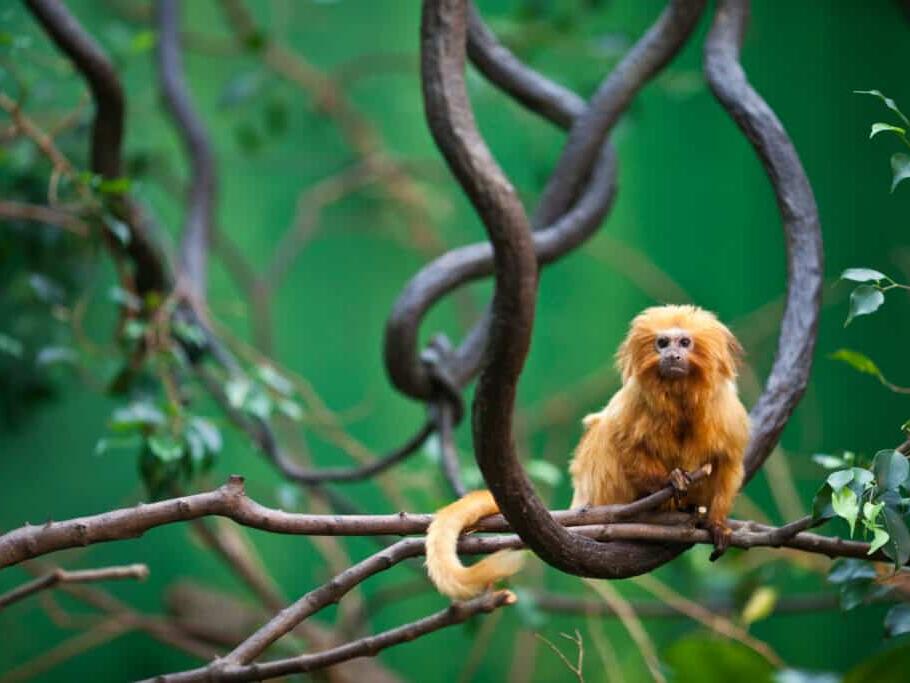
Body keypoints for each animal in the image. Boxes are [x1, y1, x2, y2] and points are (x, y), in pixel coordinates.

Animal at [425, 304, 750, 601]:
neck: (681, 401)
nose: (672, 356)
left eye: (684, 342)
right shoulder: (635, 401)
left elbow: (730, 464)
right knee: (602, 432)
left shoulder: (726, 415)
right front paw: (670, 481)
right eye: (662, 343)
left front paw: (717, 523)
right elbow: (623, 442)